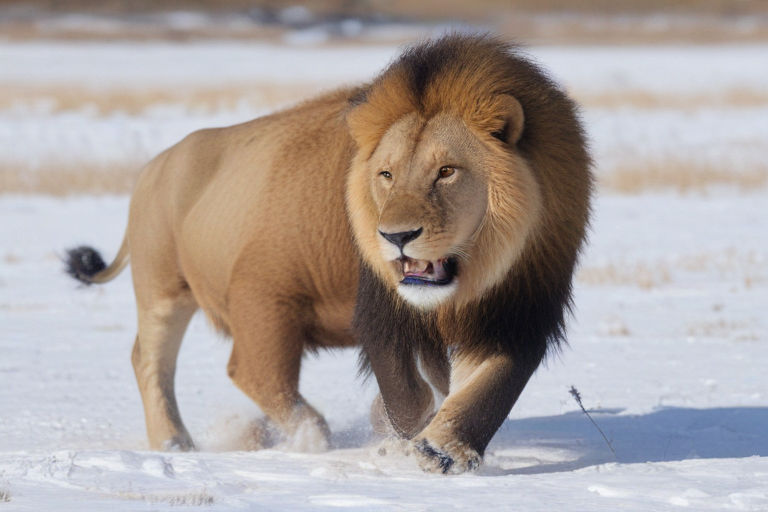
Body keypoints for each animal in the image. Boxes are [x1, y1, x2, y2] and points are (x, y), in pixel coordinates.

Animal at [65, 34, 592, 474]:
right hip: (210, 294)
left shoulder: (518, 309)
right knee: (194, 365)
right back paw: (187, 443)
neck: (475, 273)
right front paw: (401, 438)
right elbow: (407, 393)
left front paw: (442, 449)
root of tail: (155, 165)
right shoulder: (380, 305)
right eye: (386, 174)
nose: (397, 236)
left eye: (447, 171)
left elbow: (487, 389)